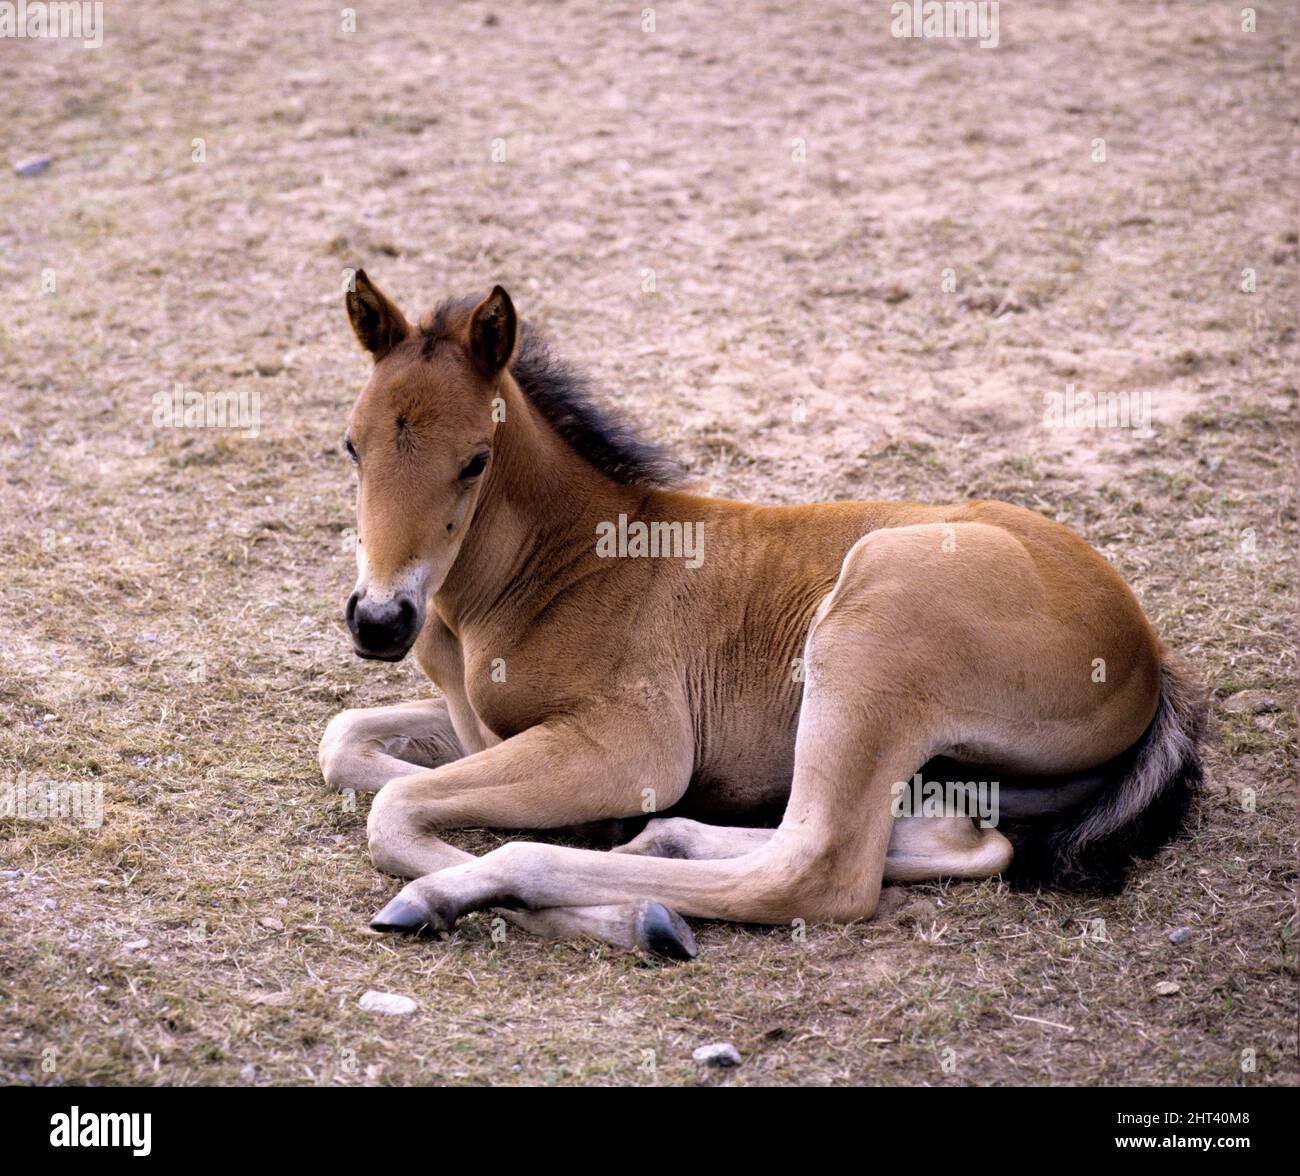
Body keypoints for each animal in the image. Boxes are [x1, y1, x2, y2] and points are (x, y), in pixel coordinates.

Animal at [318, 272, 1207, 960]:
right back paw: (662, 838)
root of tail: (1147, 652)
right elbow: (348, 743)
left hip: (870, 630)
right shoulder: (486, 724)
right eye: (352, 446)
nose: (380, 620)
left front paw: (617, 912)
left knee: (816, 869)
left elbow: (400, 810)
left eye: (474, 461)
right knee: (958, 837)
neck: (558, 564)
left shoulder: (631, 742)